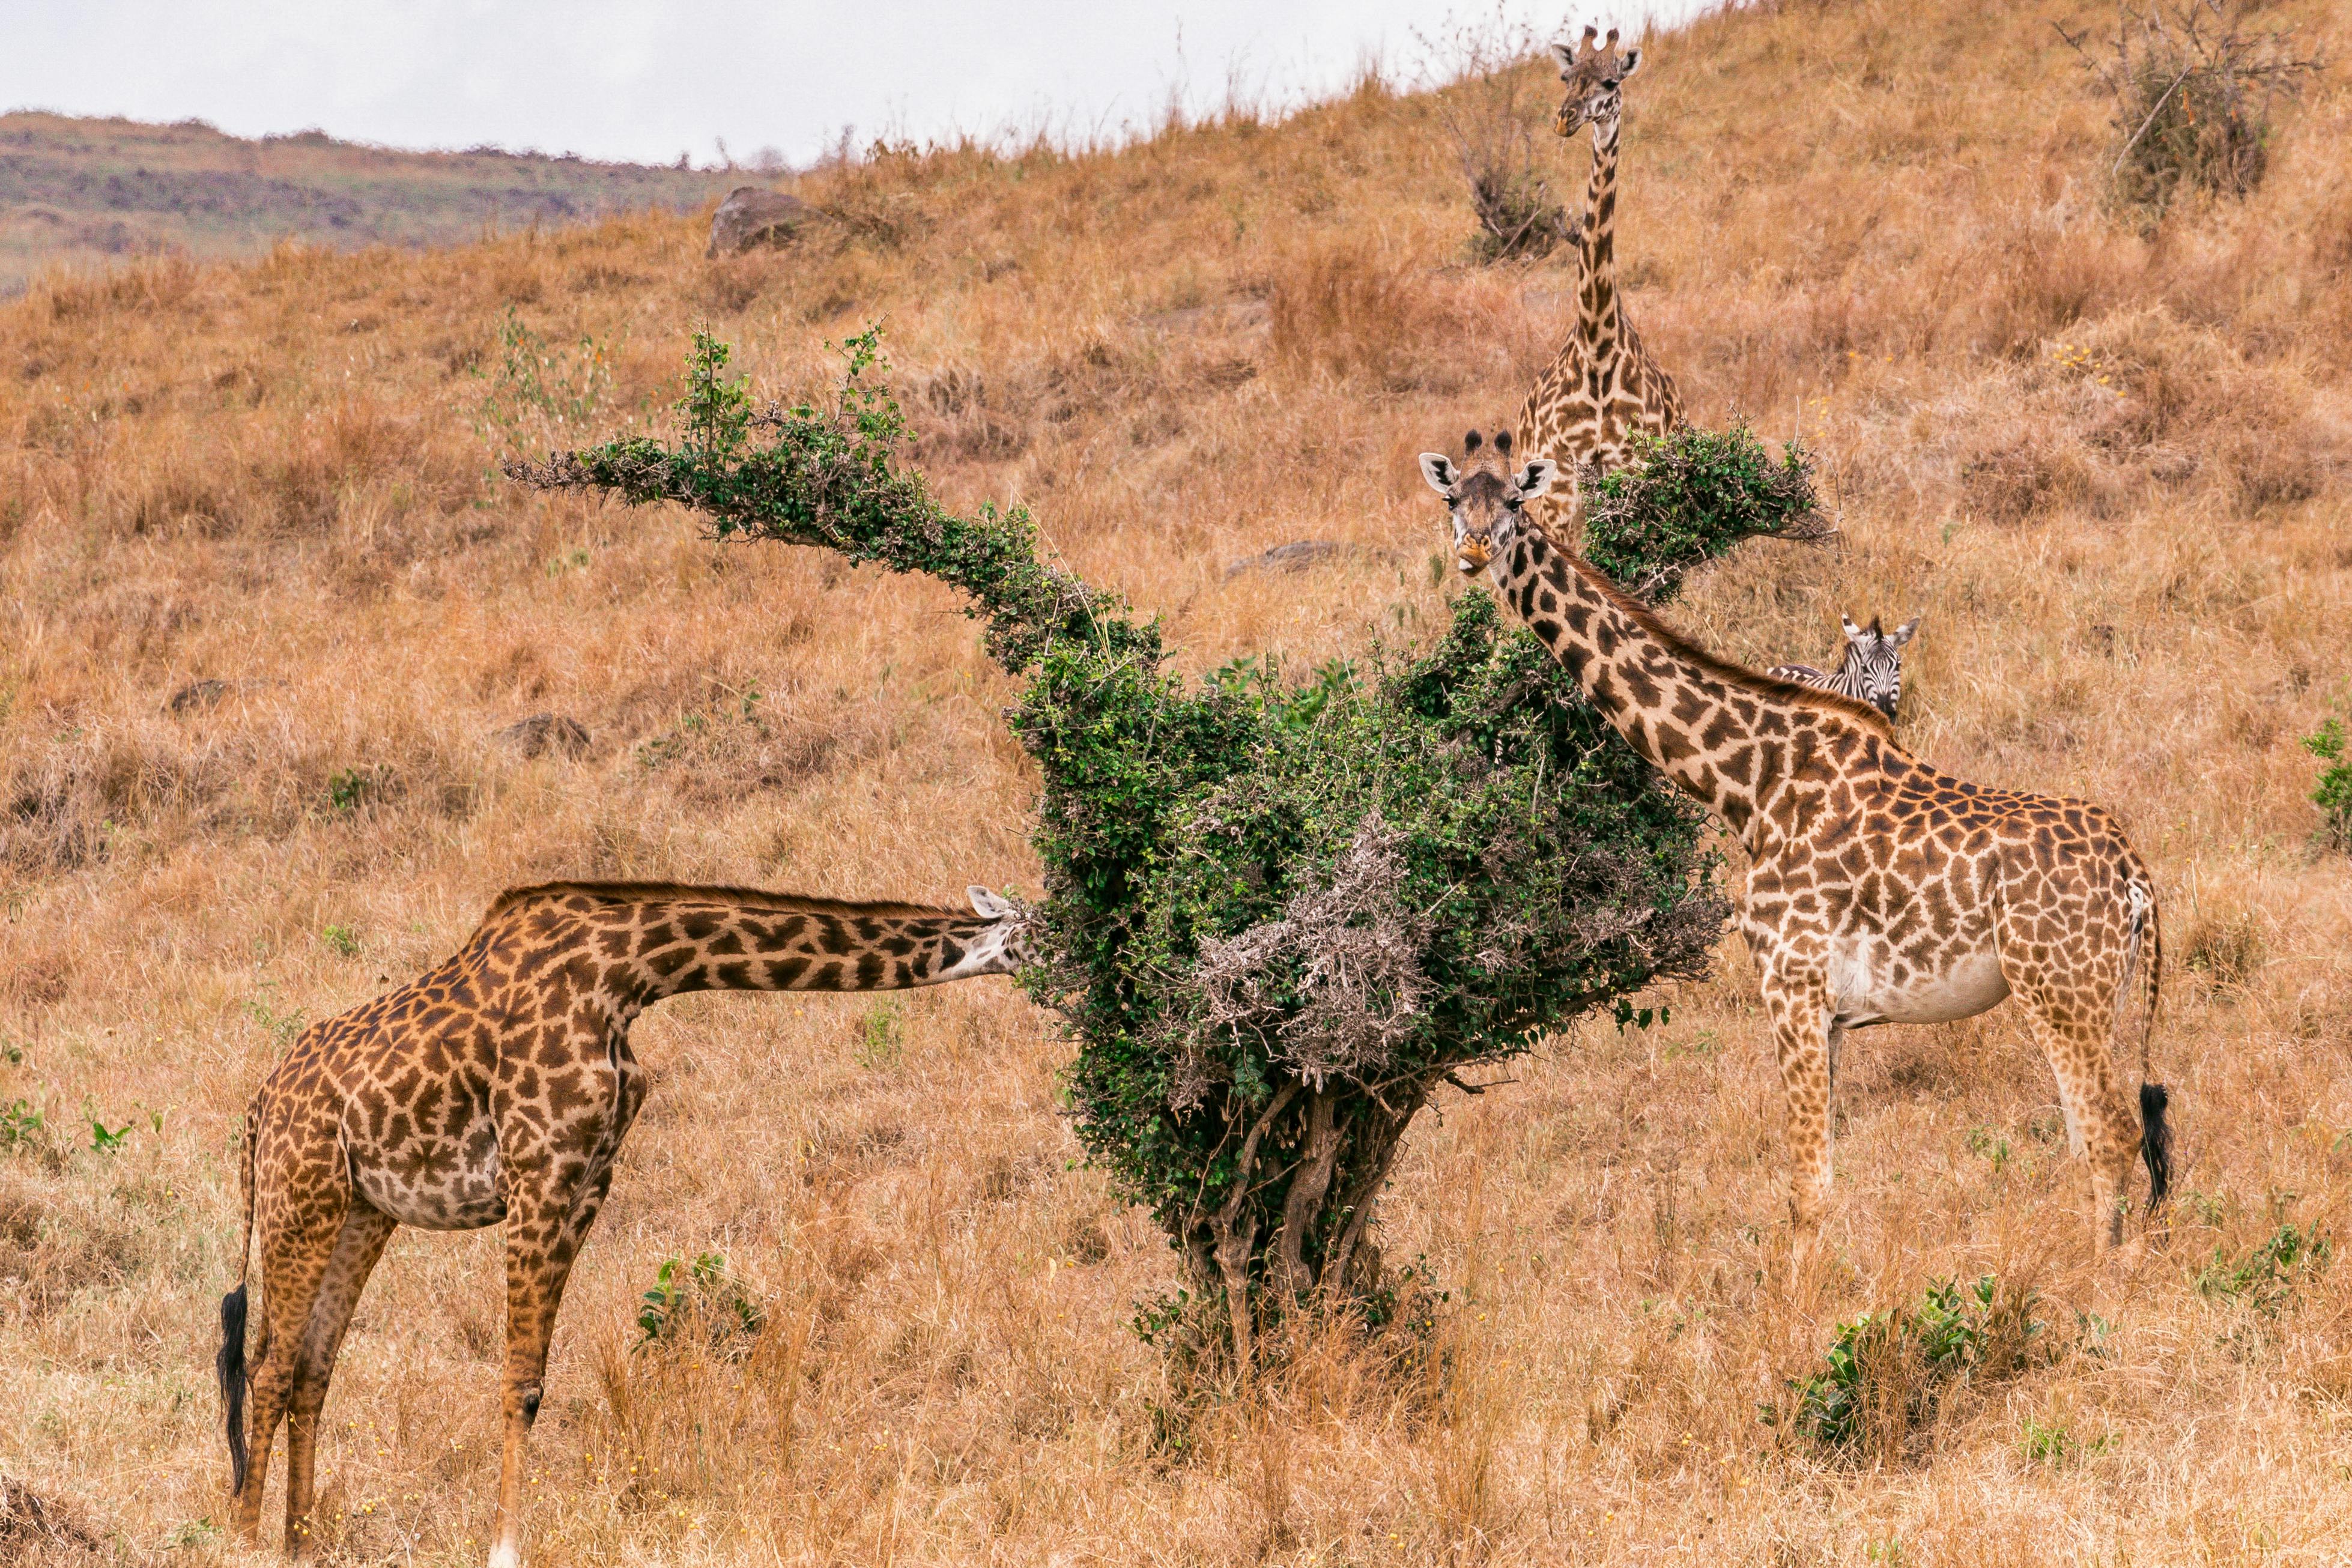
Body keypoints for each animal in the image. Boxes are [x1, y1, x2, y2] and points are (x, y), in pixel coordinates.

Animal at [215, 881, 1037, 1566]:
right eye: (1043, 928)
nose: (1066, 984)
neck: (630, 973)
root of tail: (260, 1107)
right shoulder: (539, 1172)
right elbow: (520, 1381)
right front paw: (504, 1549)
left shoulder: (588, 1181)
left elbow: (534, 1379)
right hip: (300, 1200)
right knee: (269, 1367)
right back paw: (247, 1538)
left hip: (361, 1212)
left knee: (312, 1369)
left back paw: (300, 1542)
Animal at [1417, 432, 2171, 1257]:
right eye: (1453, 501)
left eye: (1512, 503)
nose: (1473, 551)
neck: (1751, 784)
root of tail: (2134, 874)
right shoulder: (1832, 1013)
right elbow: (1820, 1177)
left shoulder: (1790, 985)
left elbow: (1806, 1190)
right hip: (2096, 996)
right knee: (2095, 1137)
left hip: (2060, 993)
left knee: (2111, 1133)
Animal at [1512, 25, 1685, 527]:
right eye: (1566, 77)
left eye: (1610, 82)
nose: (1564, 119)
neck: (1597, 346)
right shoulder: (1559, 487)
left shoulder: (1633, 472)